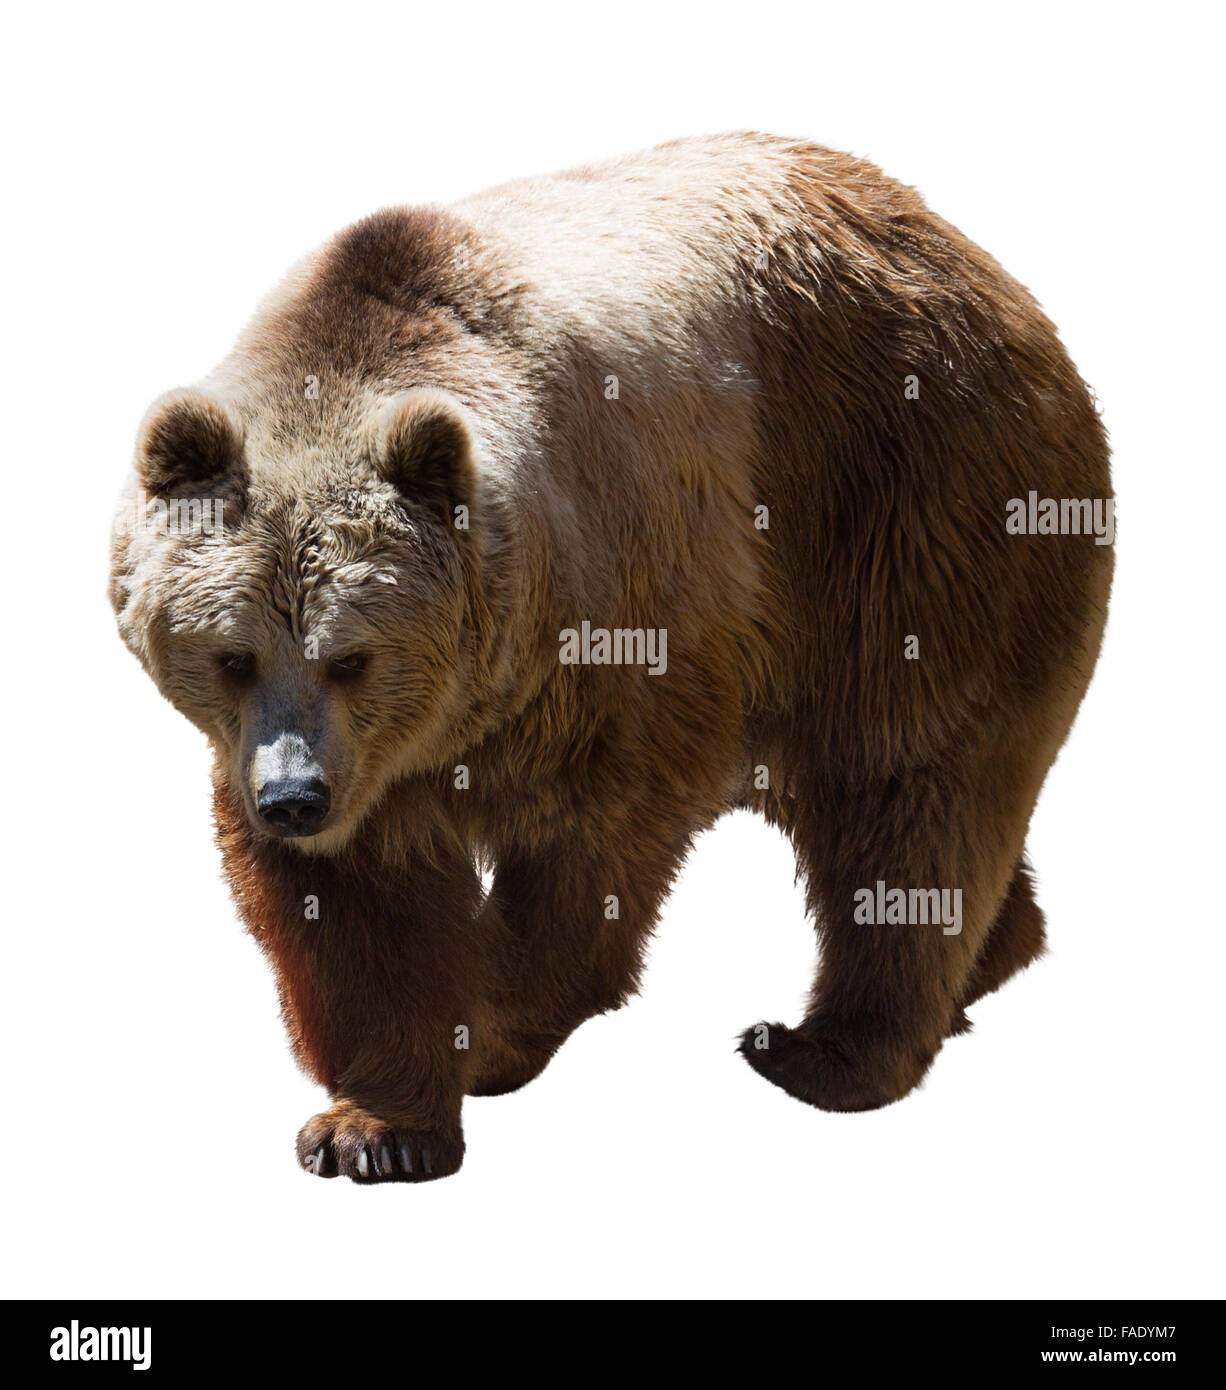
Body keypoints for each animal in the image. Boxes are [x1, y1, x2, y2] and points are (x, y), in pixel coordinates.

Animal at [110, 133, 1112, 1182]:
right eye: (233, 656)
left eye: (352, 657)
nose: (294, 798)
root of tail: (974, 259)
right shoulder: (334, 759)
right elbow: (353, 908)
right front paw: (372, 1127)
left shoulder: (620, 622)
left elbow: (596, 848)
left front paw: (491, 1029)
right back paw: (996, 953)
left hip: (914, 513)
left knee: (910, 785)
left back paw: (826, 1049)